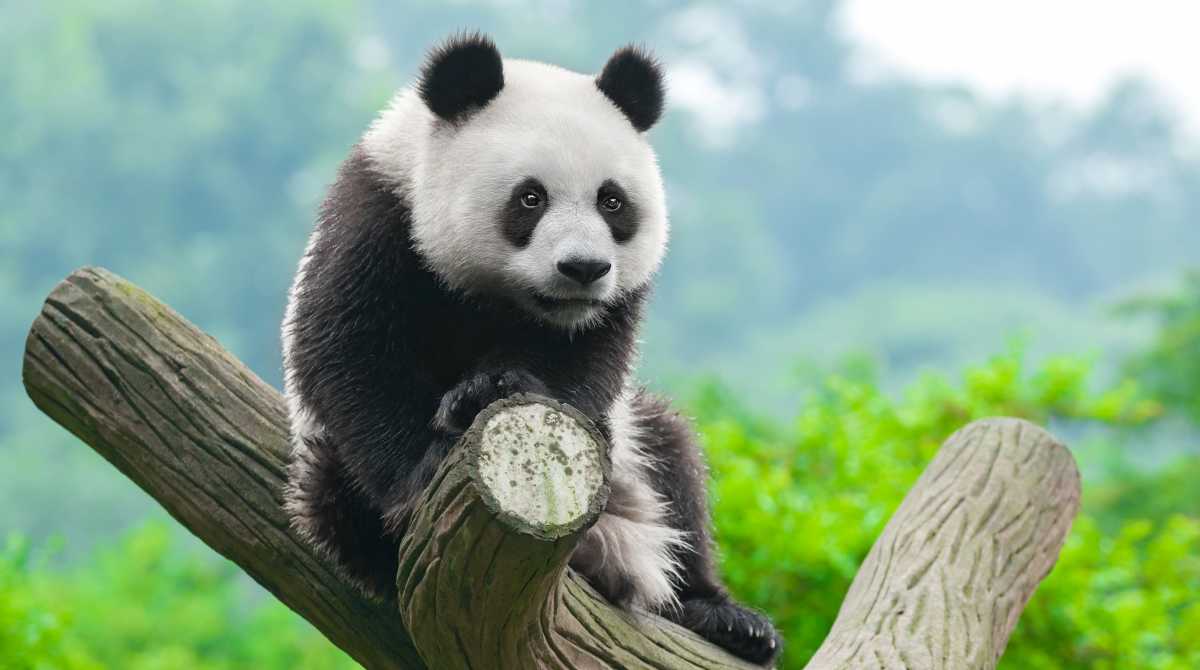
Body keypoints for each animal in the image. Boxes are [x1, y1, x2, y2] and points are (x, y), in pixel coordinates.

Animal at [282, 33, 781, 666]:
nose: (583, 268)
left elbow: (585, 363)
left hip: (635, 458)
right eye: (530, 198)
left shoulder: (607, 311)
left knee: (675, 464)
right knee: (332, 497)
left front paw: (492, 387)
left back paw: (727, 619)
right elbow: (350, 354)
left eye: (612, 202)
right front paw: (427, 466)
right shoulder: (378, 218)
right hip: (324, 468)